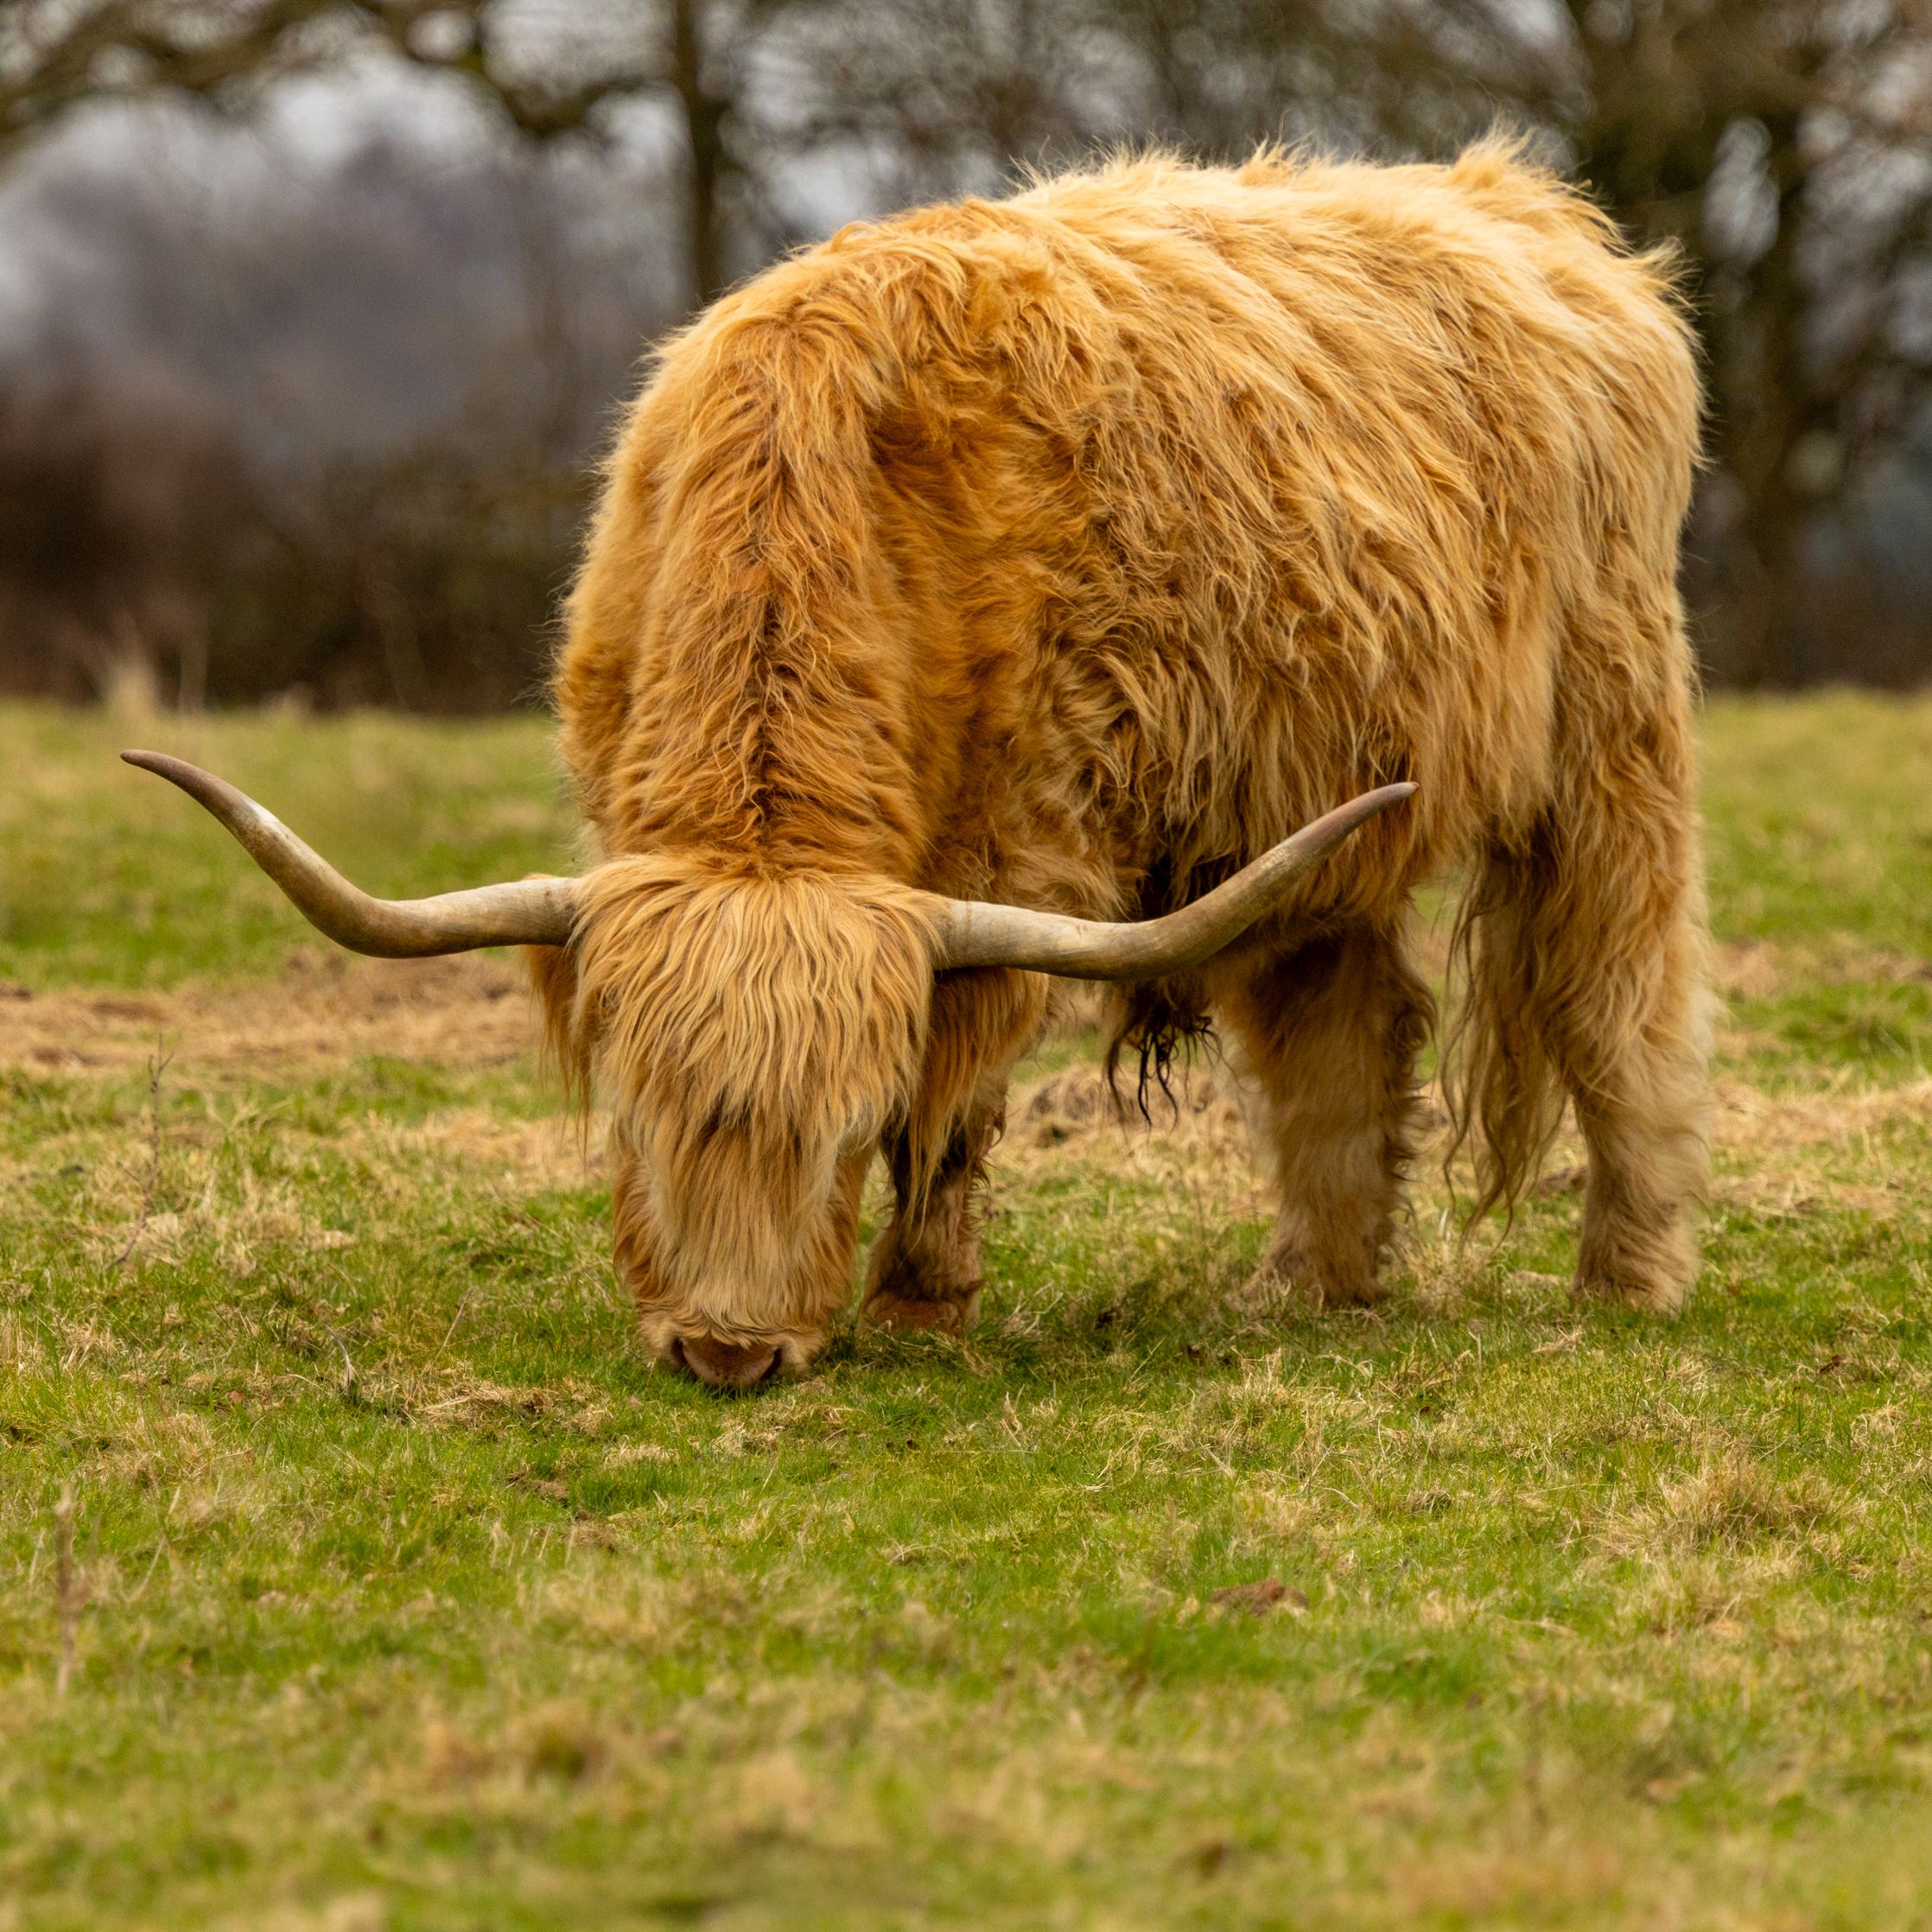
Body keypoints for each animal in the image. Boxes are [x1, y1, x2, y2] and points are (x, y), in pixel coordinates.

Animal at [128, 139, 1710, 1388]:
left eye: (841, 1131)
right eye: (640, 1123)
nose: (727, 1351)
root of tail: (1538, 213)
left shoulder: (1019, 848)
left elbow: (955, 1094)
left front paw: (918, 1302)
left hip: (1614, 729)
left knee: (1612, 991)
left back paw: (1627, 1278)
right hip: (1312, 800)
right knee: (1342, 1022)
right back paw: (1312, 1289)